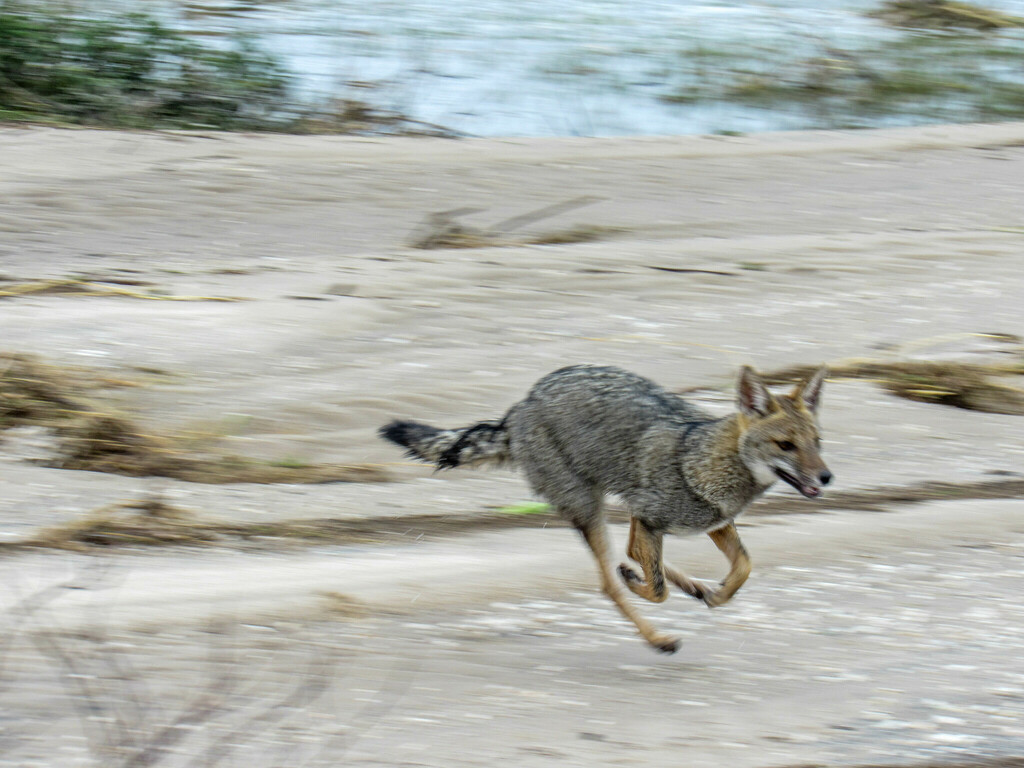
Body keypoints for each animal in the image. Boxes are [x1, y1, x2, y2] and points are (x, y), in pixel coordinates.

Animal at [379, 363, 831, 654]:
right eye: (786, 445)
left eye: (817, 442)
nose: (827, 477)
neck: (701, 457)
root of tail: (522, 403)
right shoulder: (649, 516)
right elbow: (657, 588)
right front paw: (651, 586)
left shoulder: (711, 522)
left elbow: (742, 568)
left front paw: (716, 594)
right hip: (590, 509)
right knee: (610, 583)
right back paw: (657, 636)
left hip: (607, 506)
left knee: (628, 559)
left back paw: (687, 586)